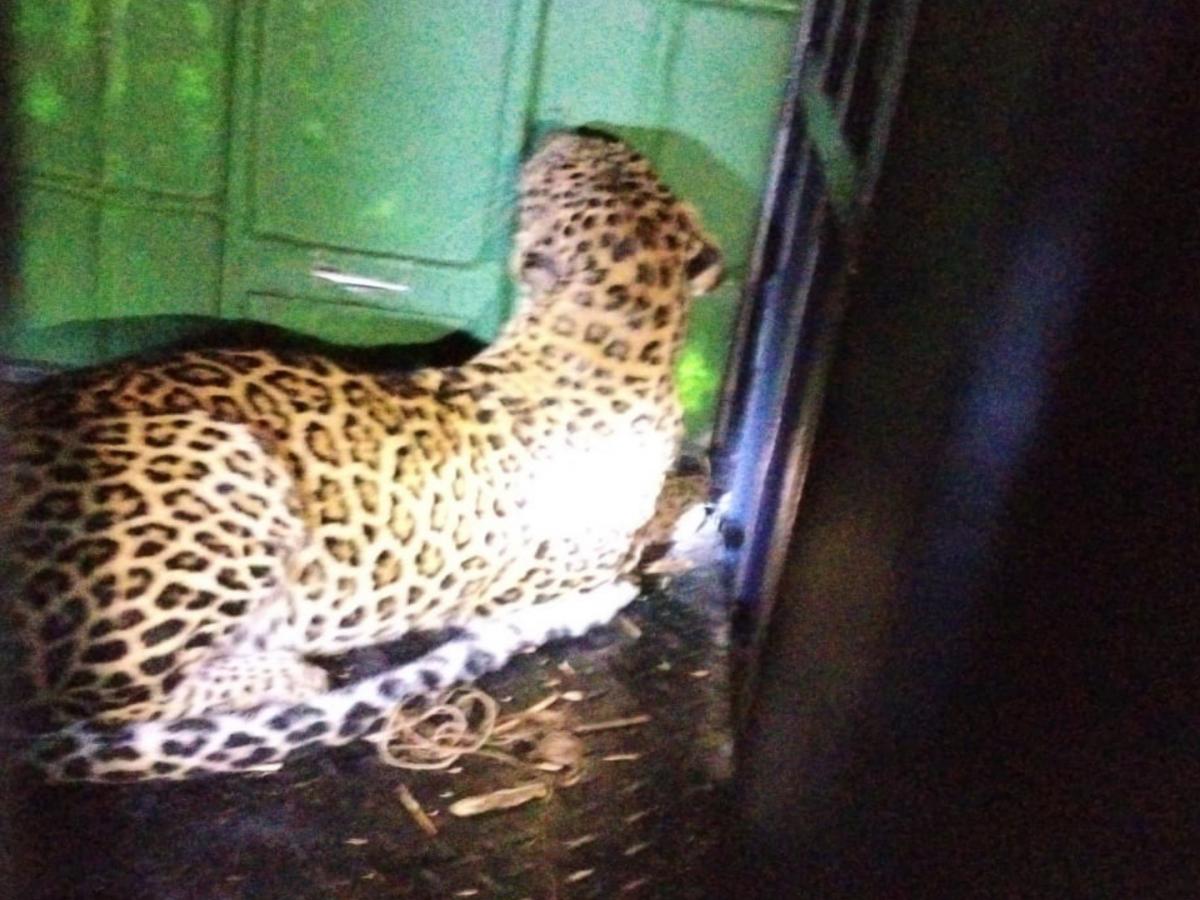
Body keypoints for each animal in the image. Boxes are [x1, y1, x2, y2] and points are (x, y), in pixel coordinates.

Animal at [0, 128, 724, 782]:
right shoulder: (576, 564)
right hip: (226, 469)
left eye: (624, 162)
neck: (617, 340)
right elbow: (646, 531)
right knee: (116, 705)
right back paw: (293, 672)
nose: (581, 129)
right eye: (569, 166)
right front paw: (692, 507)